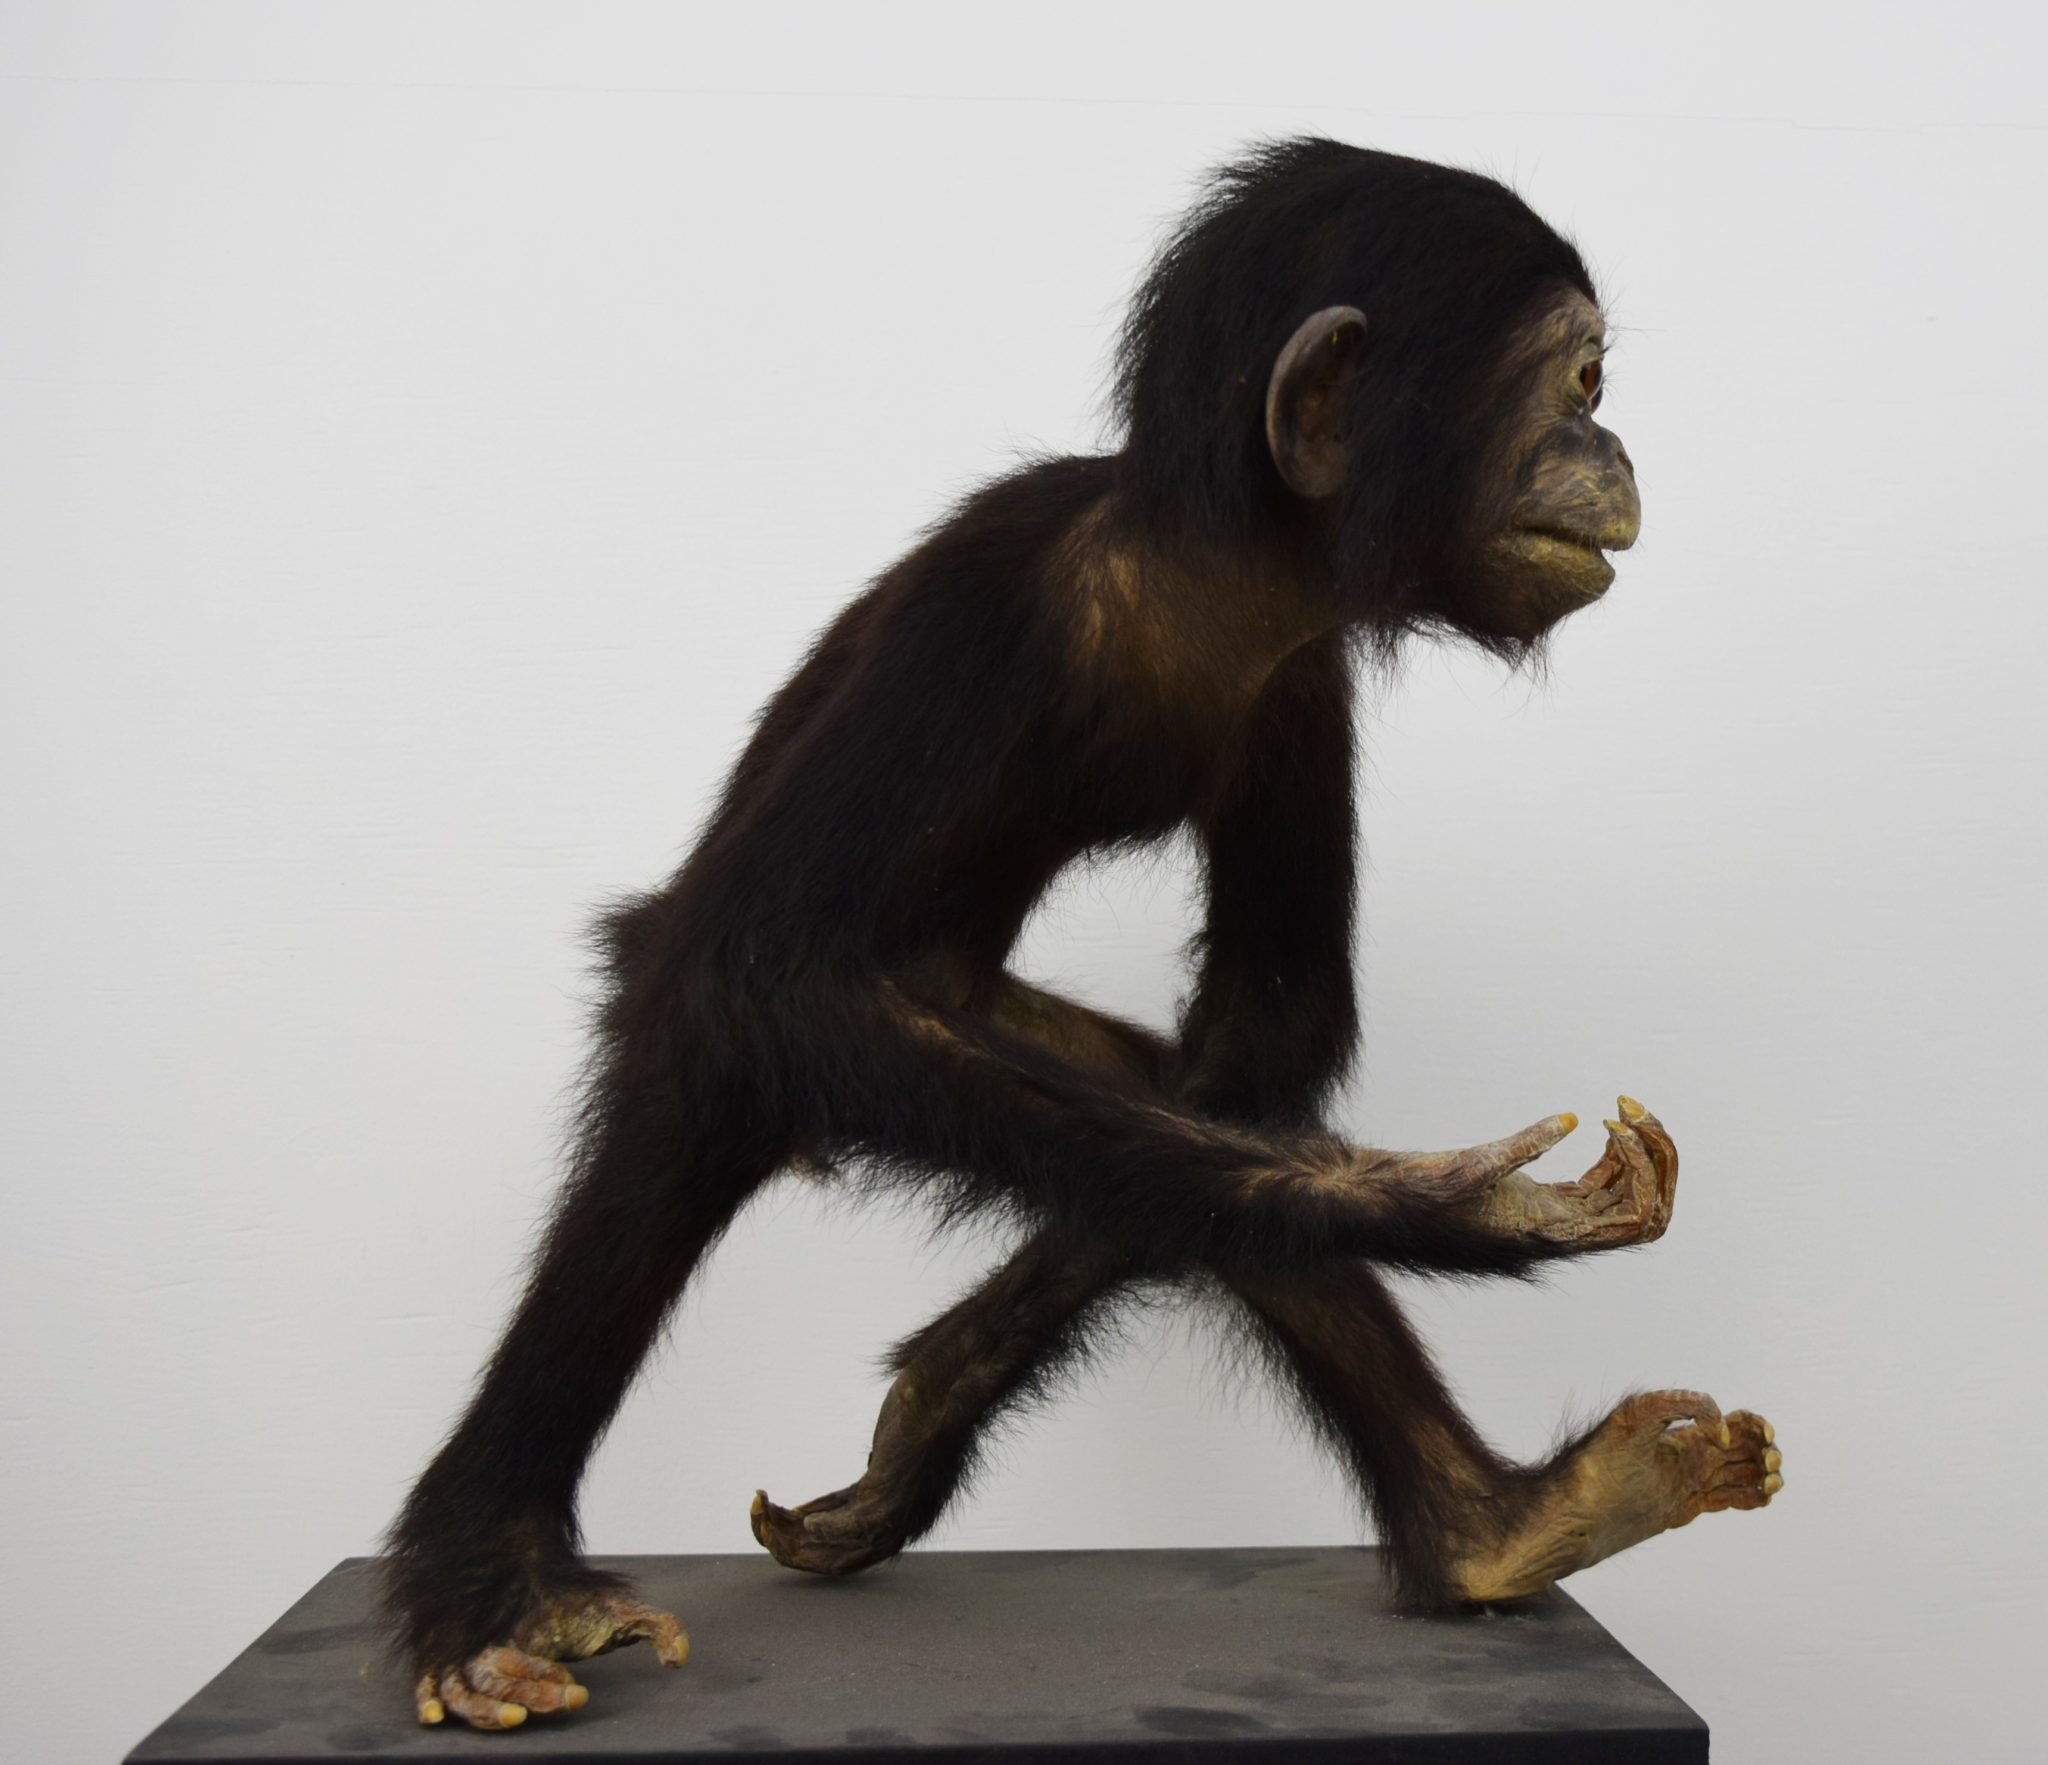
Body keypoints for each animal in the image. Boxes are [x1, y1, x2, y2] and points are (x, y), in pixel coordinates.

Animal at [383, 139, 1781, 1733]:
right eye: (1581, 380)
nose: (1612, 449)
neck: (1195, 574)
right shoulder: (985, 622)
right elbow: (771, 973)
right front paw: (1459, 1210)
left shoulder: (1295, 674)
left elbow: (1263, 1034)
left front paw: (927, 1406)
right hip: (712, 1014)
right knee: (677, 1117)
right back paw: (496, 1591)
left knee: (1175, 1134)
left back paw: (1503, 1529)